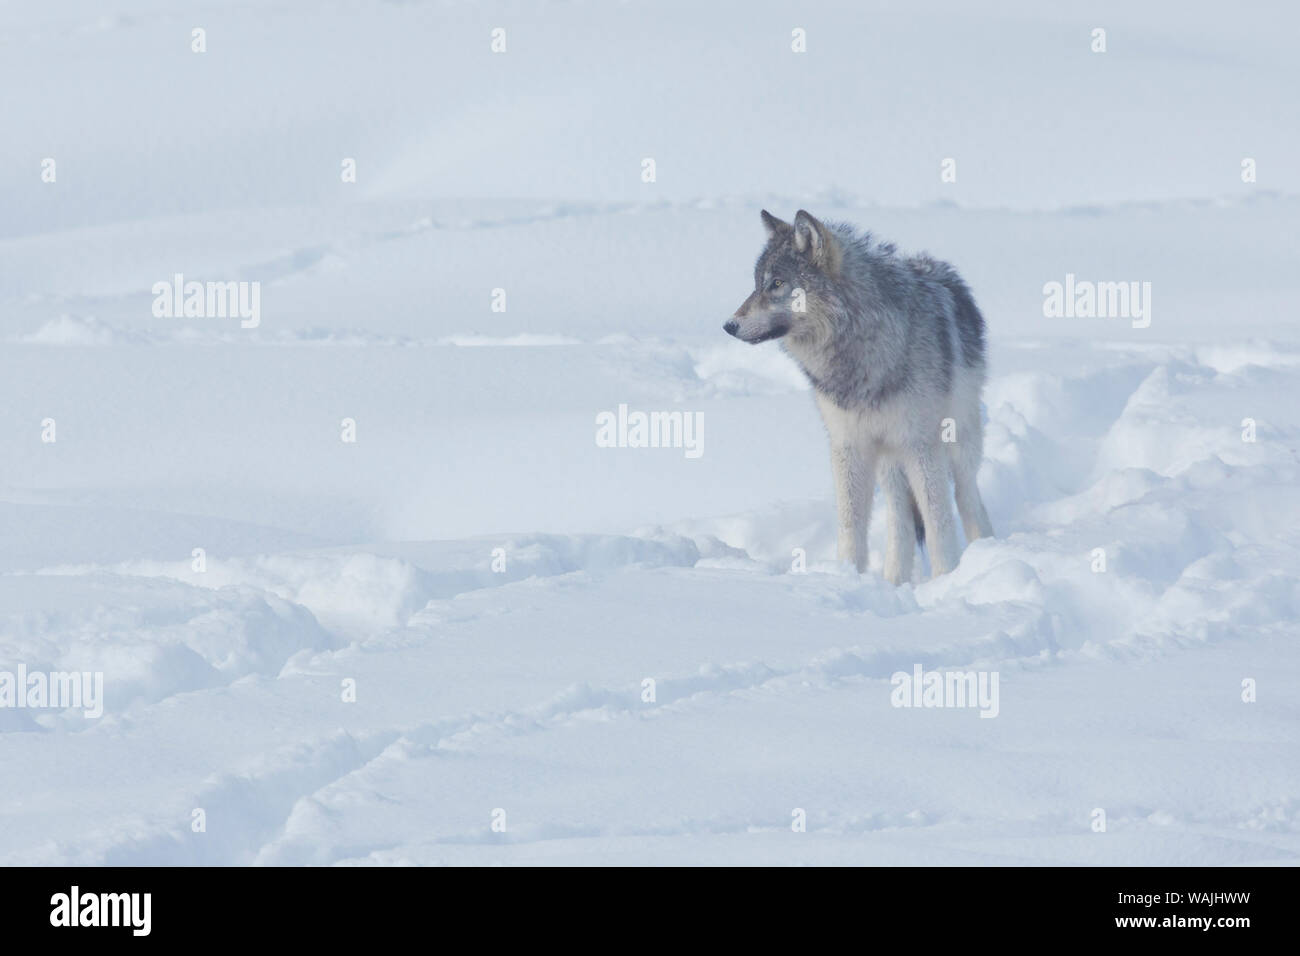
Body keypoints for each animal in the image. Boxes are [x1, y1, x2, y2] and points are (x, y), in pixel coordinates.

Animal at [724, 209, 993, 584]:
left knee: (968, 499)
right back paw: (894, 580)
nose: (728, 326)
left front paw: (944, 579)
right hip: (889, 461)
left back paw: (984, 550)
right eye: (756, 283)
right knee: (900, 517)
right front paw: (845, 575)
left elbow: (938, 523)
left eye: (776, 284)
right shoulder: (850, 445)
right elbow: (850, 525)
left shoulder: (919, 445)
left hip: (957, 444)